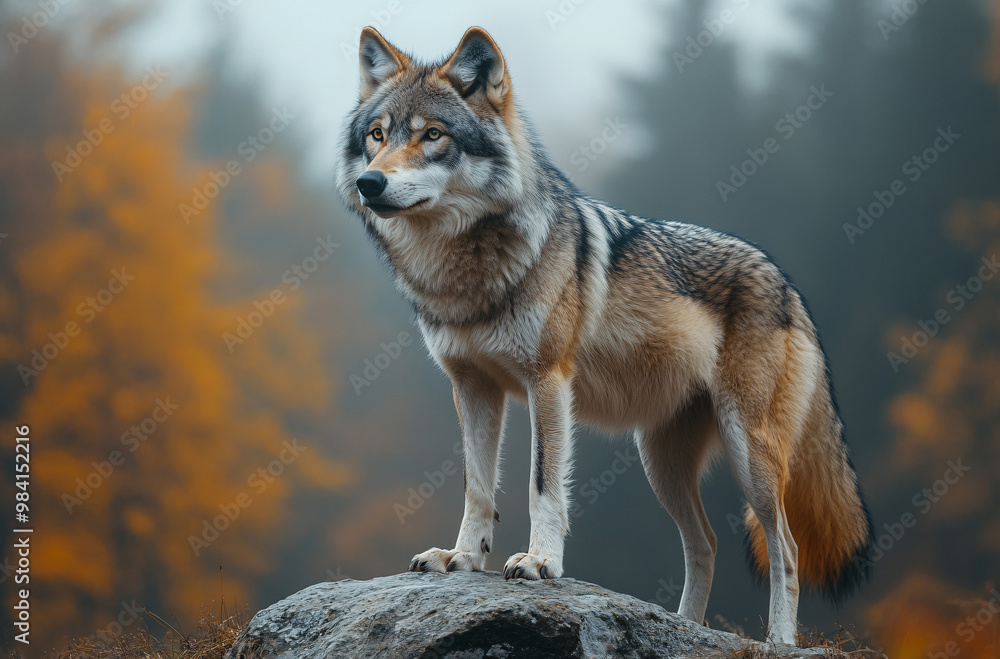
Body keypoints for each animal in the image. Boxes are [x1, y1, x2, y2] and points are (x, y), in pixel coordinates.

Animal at [337, 26, 874, 645]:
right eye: (377, 136)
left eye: (432, 135)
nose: (369, 181)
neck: (464, 271)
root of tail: (787, 283)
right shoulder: (472, 388)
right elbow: (478, 486)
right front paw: (462, 558)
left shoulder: (547, 381)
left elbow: (542, 484)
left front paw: (540, 563)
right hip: (660, 463)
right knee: (707, 543)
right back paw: (680, 627)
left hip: (749, 452)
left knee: (785, 547)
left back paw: (779, 641)